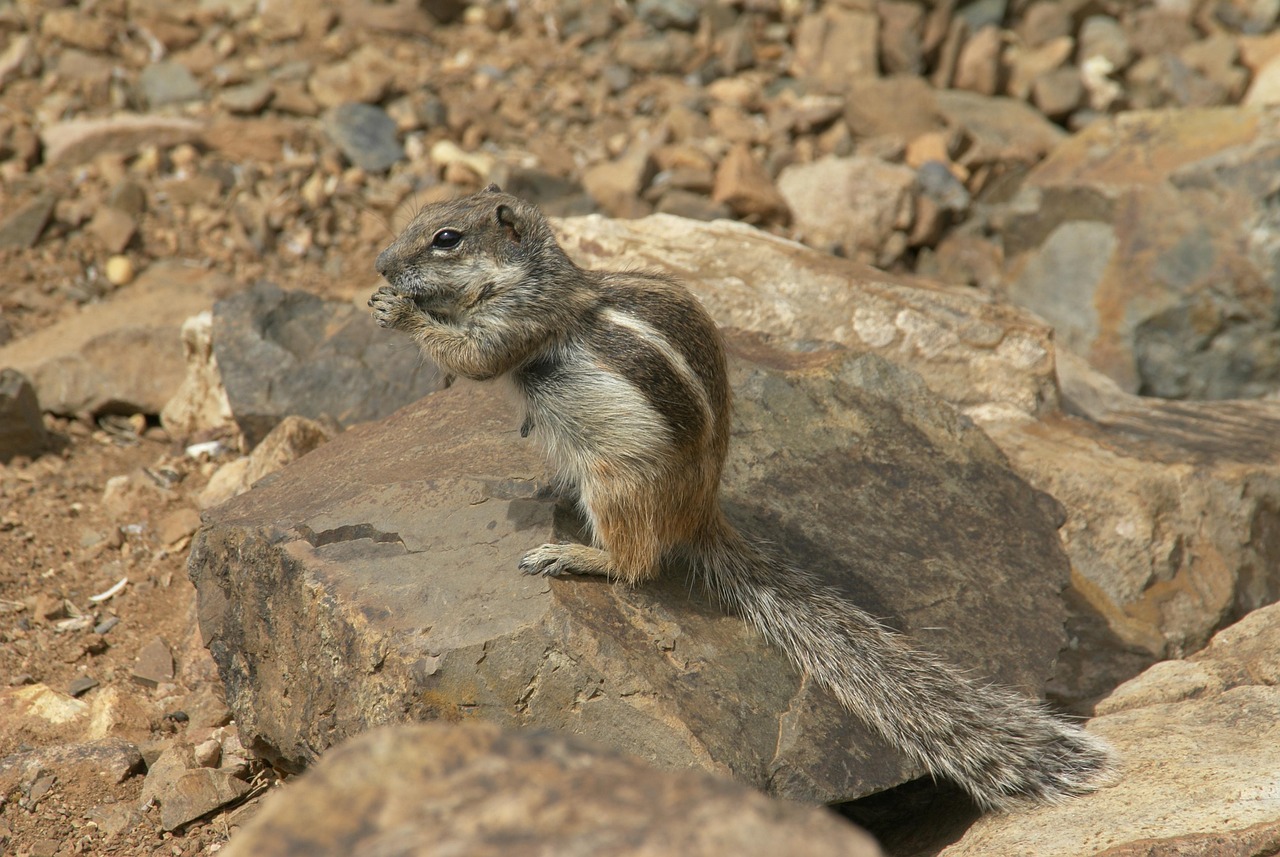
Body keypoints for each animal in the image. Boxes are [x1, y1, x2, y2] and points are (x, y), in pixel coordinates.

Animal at [368, 185, 1114, 811]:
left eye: (445, 238)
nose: (378, 263)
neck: (531, 275)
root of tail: (701, 513)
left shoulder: (519, 323)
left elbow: (474, 360)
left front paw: (397, 310)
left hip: (617, 483)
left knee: (637, 562)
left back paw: (575, 555)